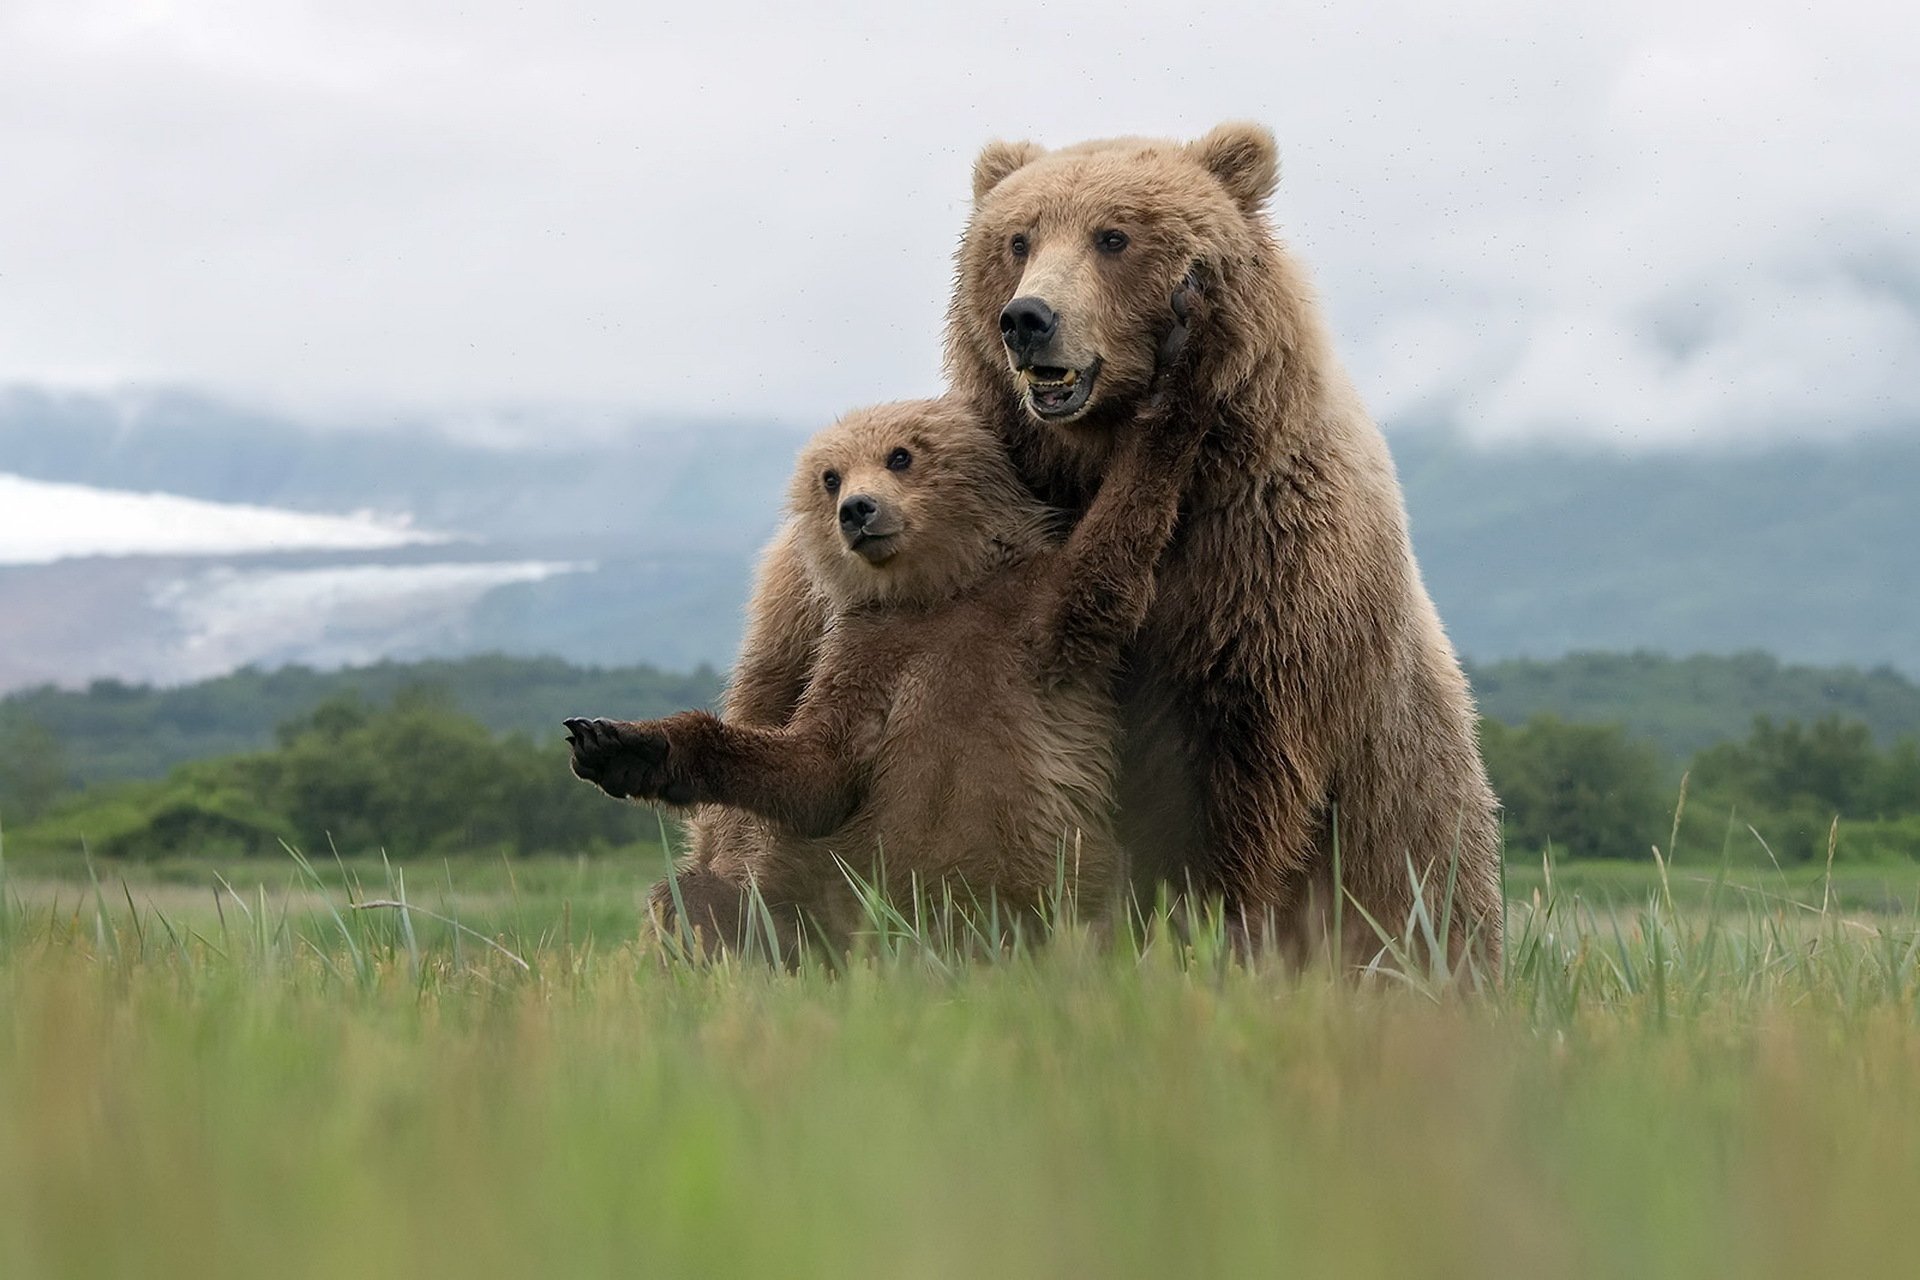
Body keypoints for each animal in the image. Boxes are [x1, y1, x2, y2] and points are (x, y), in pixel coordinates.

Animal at [567, 287, 1209, 954]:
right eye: (830, 477)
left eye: (900, 455)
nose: (857, 509)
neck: (938, 592)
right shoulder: (865, 655)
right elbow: (816, 769)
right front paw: (625, 745)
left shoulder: (1041, 612)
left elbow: (1115, 542)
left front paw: (1177, 369)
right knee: (744, 904)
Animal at [685, 122, 1504, 969]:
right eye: (1018, 239)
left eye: (1114, 236)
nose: (1027, 318)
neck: (1088, 459)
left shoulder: (1262, 571)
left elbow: (1237, 781)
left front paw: (1208, 927)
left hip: (1416, 822)